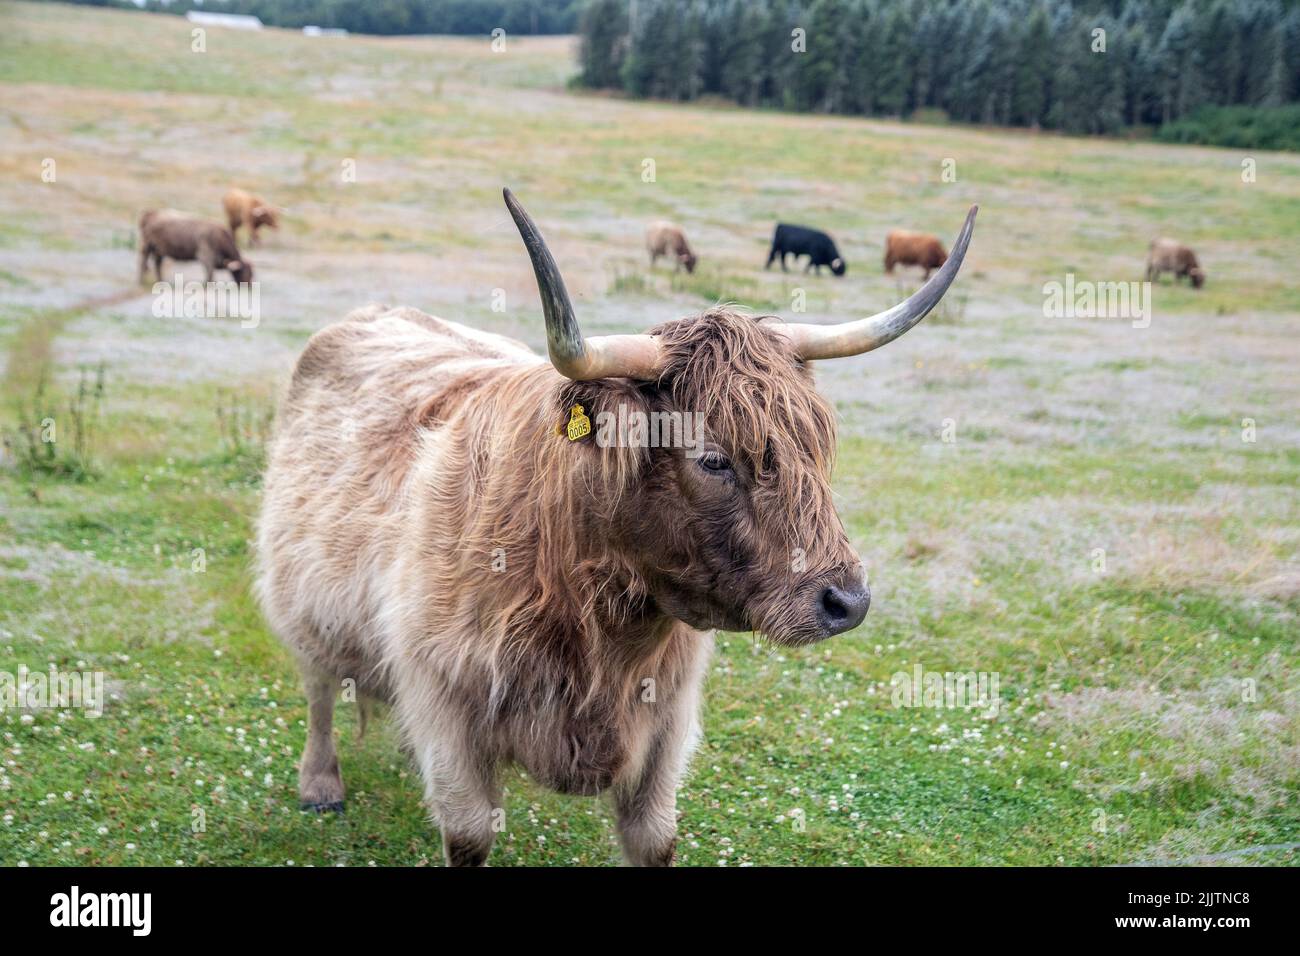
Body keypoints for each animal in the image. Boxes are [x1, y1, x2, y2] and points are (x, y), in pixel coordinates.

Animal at [255, 189, 976, 866]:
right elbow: (467, 834)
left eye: (817, 446)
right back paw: (320, 785)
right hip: (303, 601)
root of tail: (373, 315)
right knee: (319, 688)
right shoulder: (448, 705)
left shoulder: (665, 722)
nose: (848, 602)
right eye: (713, 458)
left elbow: (654, 837)